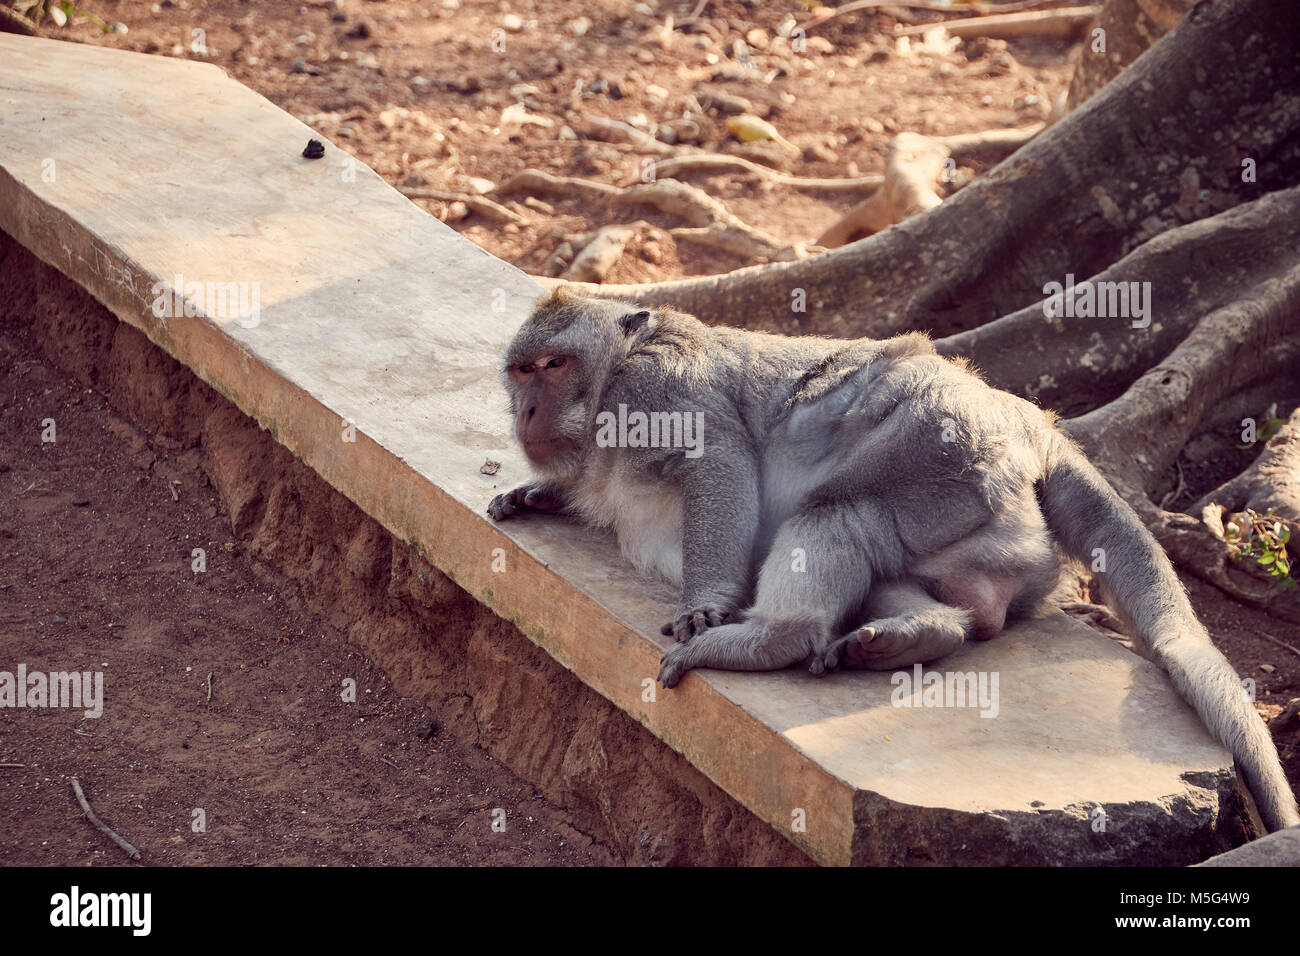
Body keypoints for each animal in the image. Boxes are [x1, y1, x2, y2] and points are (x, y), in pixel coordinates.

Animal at [488, 288, 1300, 833]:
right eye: (522, 371)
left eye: (553, 365)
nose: (524, 412)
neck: (608, 383)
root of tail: (1025, 420)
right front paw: (539, 496)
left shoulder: (656, 390)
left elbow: (719, 458)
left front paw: (706, 604)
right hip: (987, 525)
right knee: (906, 579)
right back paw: (919, 633)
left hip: (938, 447)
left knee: (836, 512)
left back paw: (774, 636)